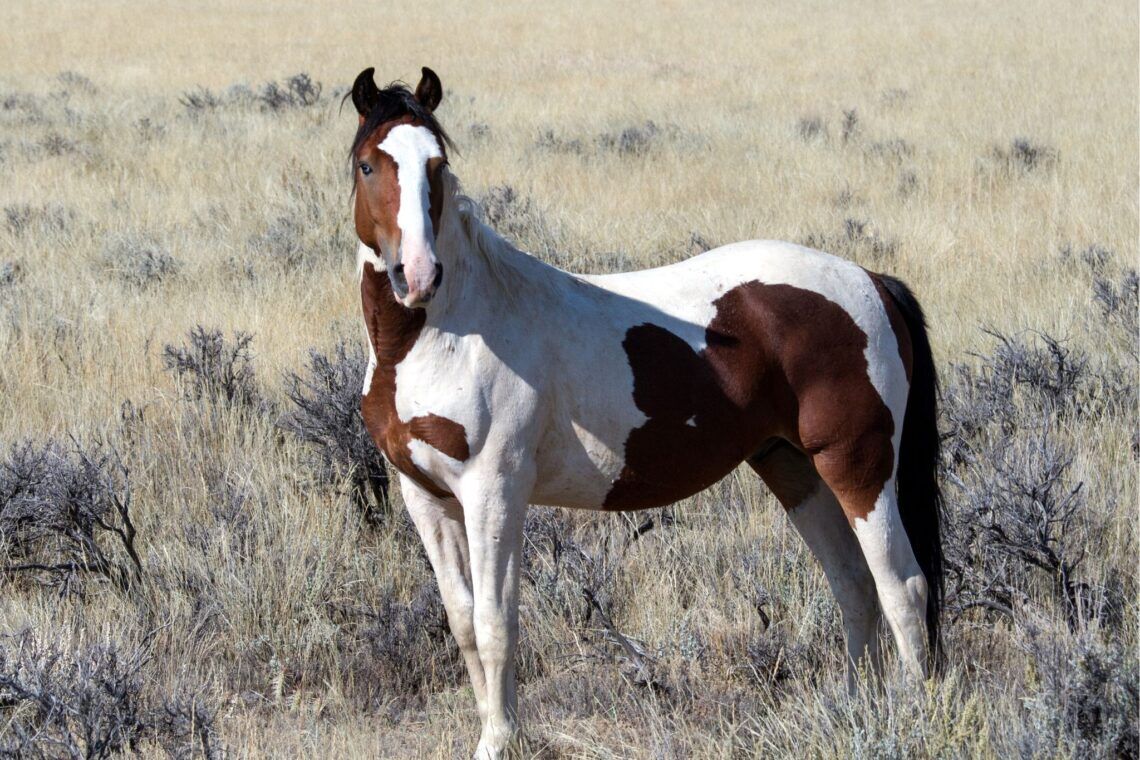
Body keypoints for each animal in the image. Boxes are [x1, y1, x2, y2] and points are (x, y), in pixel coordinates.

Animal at [347, 66, 943, 758]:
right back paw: (853, 713)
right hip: (794, 469)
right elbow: (465, 621)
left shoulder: (493, 491)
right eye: (368, 164)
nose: (416, 275)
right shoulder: (426, 496)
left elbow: (498, 624)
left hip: (859, 469)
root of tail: (871, 282)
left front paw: (499, 741)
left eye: (436, 165)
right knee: (853, 586)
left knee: (902, 588)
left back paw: (912, 719)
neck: (451, 329)